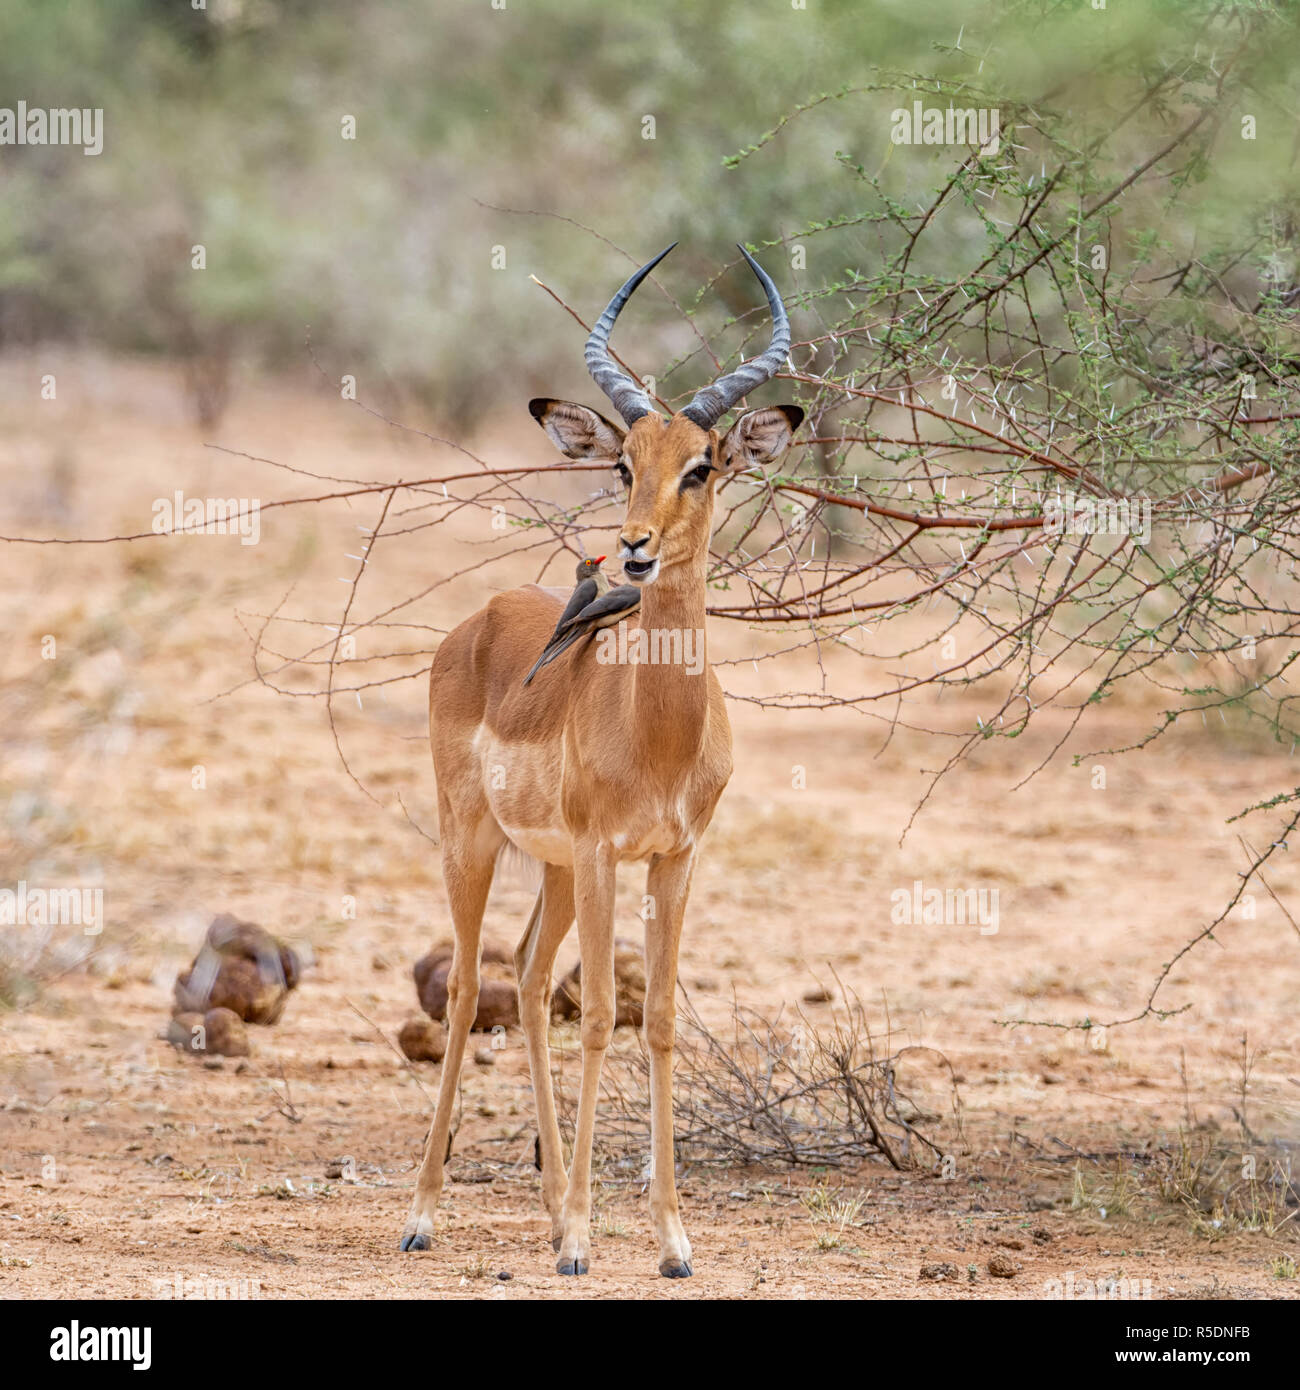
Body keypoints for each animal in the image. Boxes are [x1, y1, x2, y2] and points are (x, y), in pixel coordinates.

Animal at [400, 244, 802, 1277]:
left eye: (702, 466)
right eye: (625, 462)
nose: (633, 549)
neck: (657, 730)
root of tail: (483, 615)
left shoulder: (675, 856)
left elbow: (654, 1020)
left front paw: (671, 1240)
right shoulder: (600, 851)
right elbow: (604, 1022)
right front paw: (585, 1238)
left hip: (550, 867)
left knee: (533, 979)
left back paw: (544, 1210)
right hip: (475, 841)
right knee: (473, 988)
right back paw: (425, 1215)